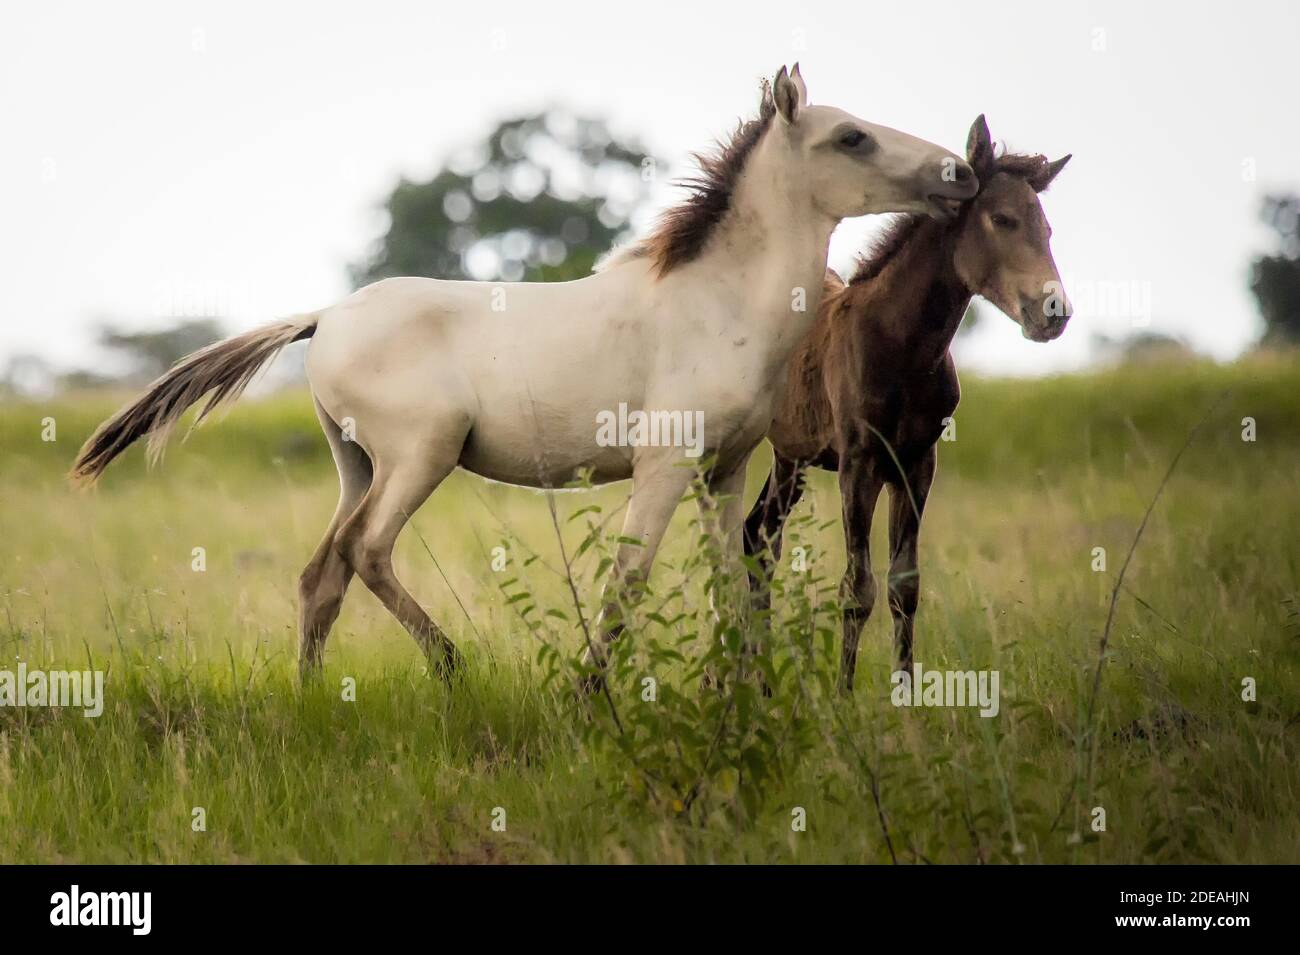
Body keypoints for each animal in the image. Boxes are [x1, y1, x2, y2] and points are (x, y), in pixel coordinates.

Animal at [71, 65, 977, 686]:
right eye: (851, 136)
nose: (960, 175)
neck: (716, 301)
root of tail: (325, 316)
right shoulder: (664, 465)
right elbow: (629, 577)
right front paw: (588, 691)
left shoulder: (725, 468)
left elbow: (732, 577)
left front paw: (742, 692)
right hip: (421, 454)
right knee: (367, 550)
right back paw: (452, 663)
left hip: (356, 464)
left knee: (321, 572)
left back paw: (311, 694)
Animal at [742, 115, 1071, 692]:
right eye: (1002, 219)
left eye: (1047, 230)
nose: (1054, 311)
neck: (903, 345)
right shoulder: (858, 464)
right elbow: (856, 587)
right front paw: (844, 697)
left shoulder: (916, 464)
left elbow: (904, 586)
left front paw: (906, 696)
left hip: (791, 458)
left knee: (758, 536)